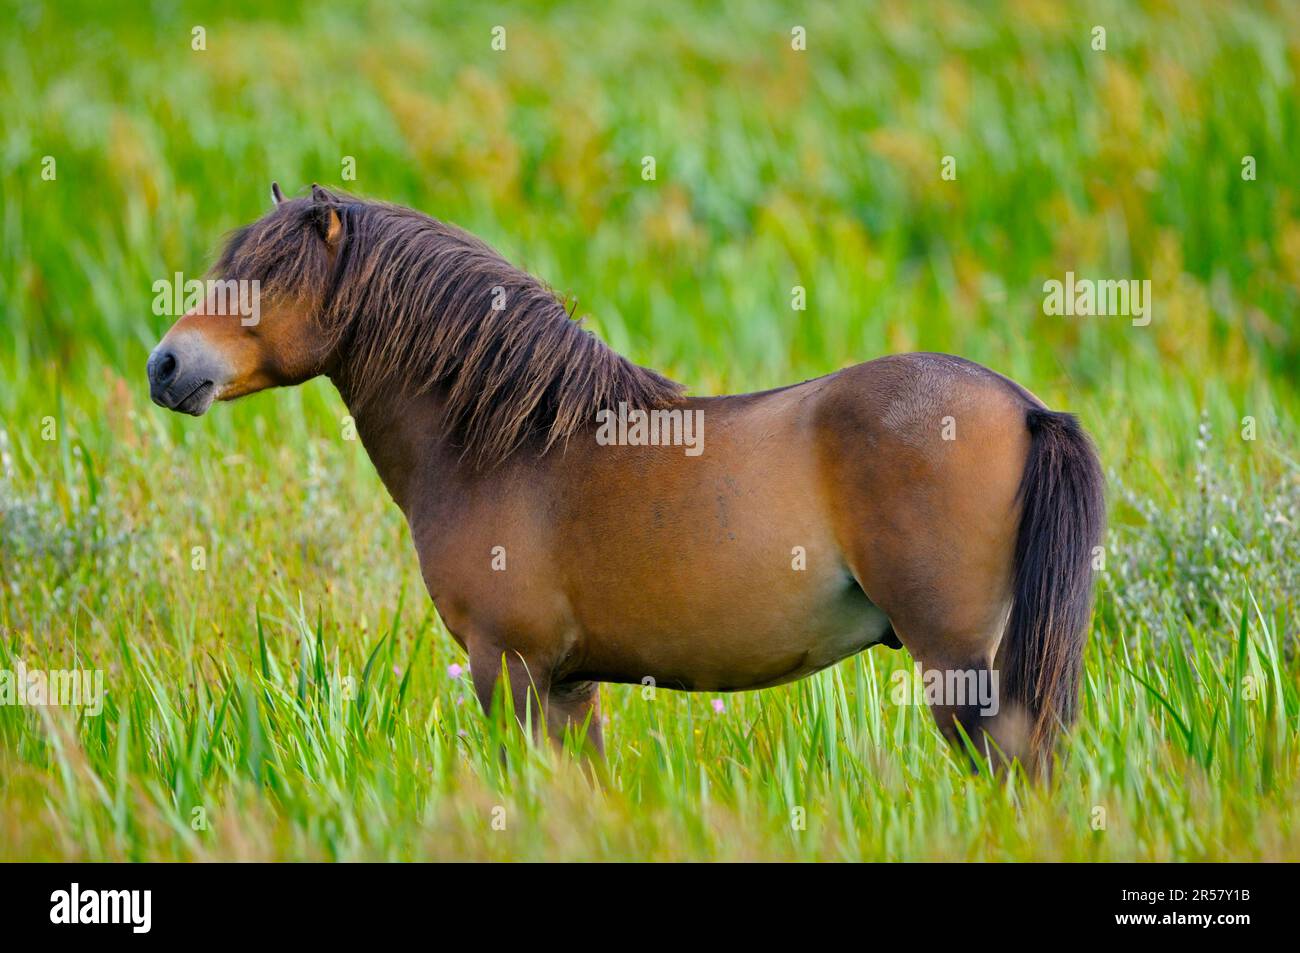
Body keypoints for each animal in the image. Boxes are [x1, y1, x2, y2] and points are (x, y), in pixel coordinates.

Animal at [147, 183, 1104, 772]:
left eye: (269, 277)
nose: (166, 364)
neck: (507, 443)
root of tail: (1024, 407)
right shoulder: (568, 686)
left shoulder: (509, 669)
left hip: (960, 666)